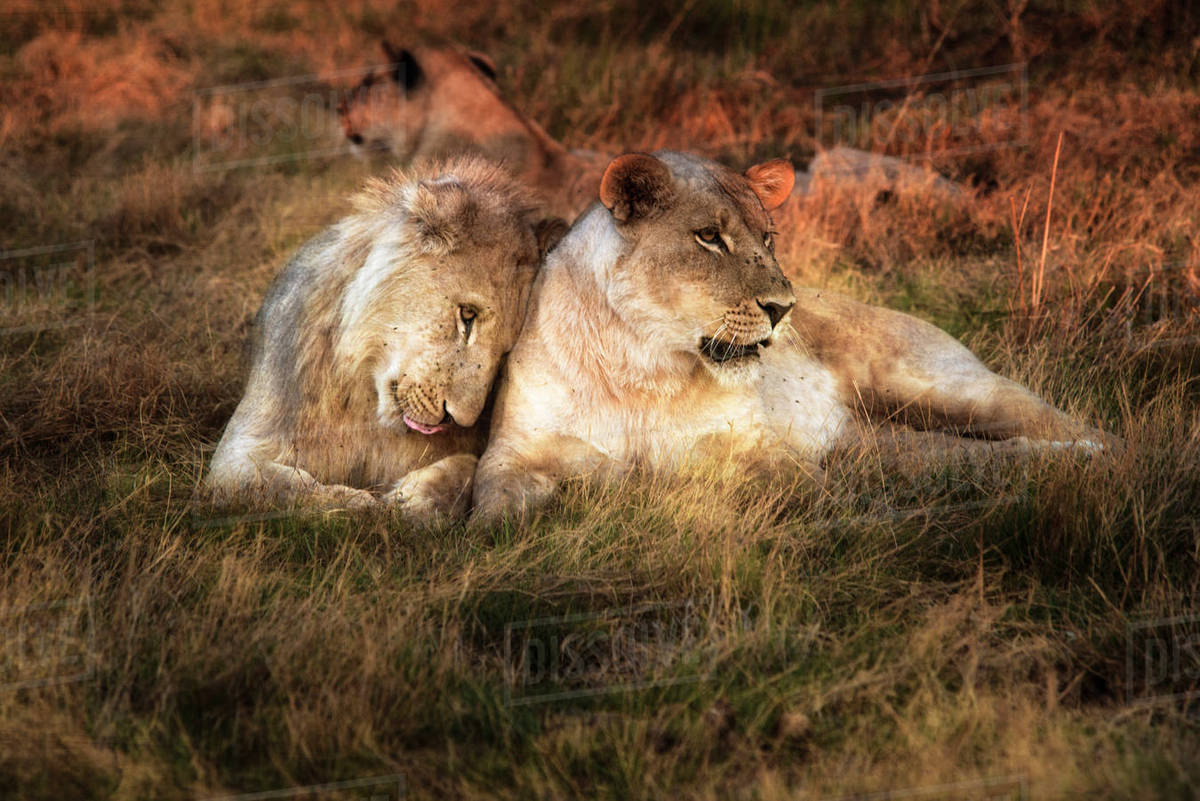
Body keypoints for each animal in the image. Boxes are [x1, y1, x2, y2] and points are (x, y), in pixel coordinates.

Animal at [205, 157, 564, 521]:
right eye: (467, 316)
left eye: (506, 351)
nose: (457, 418)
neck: (368, 411)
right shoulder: (237, 451)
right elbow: (277, 482)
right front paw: (356, 504)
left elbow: (465, 468)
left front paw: (414, 504)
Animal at [471, 150, 1113, 523]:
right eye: (709, 237)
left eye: (769, 237)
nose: (783, 309)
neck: (644, 367)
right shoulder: (515, 454)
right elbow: (489, 511)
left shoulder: (758, 449)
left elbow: (815, 493)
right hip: (876, 441)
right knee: (965, 457)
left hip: (952, 389)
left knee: (1071, 430)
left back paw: (1096, 461)